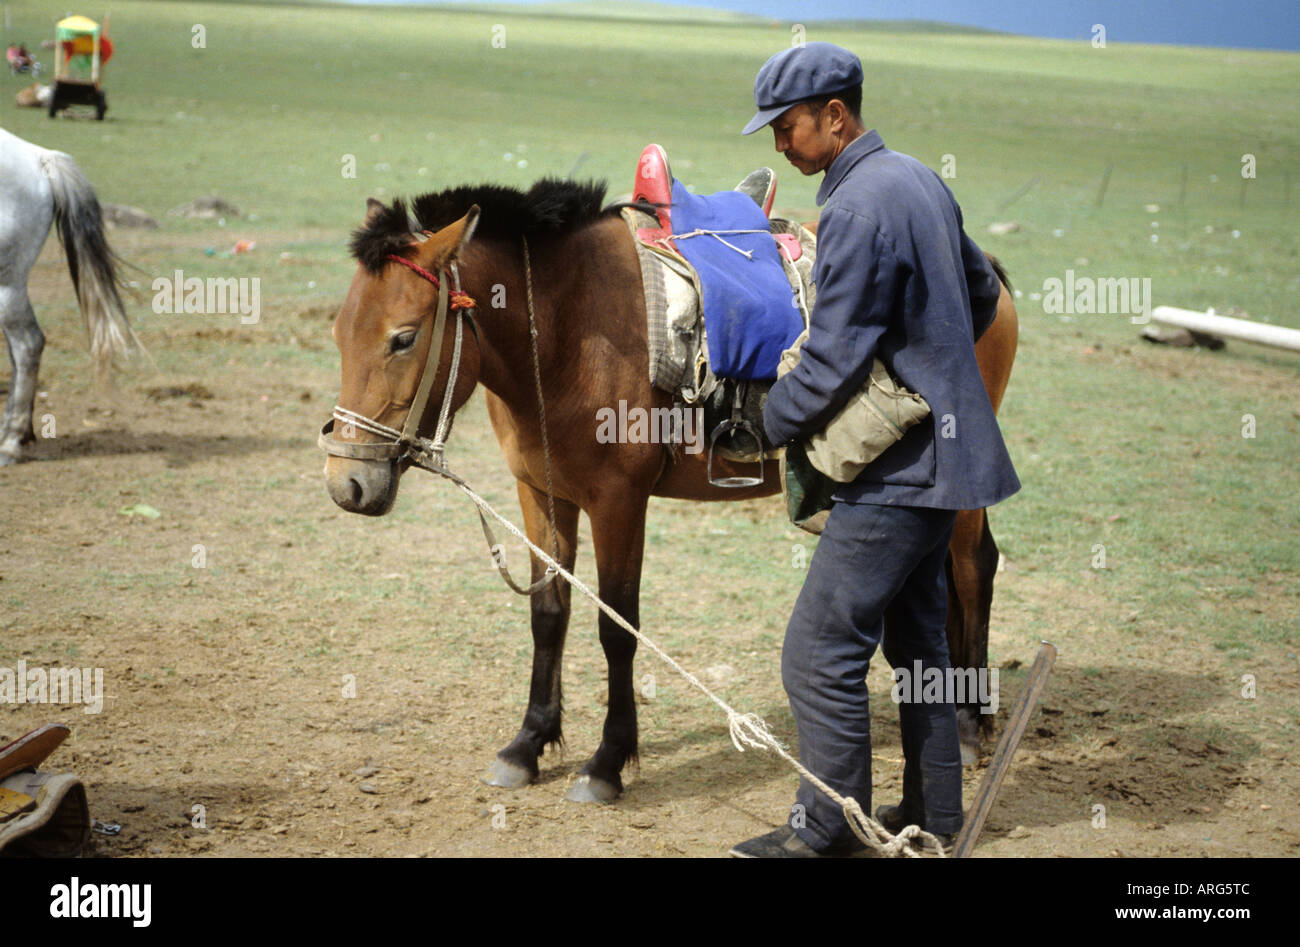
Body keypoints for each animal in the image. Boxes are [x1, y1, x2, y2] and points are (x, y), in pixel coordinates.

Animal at [322, 178, 1017, 802]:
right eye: (338, 332)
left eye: (403, 337)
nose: (346, 482)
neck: (569, 329)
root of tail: (982, 267)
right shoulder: (541, 494)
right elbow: (549, 616)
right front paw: (528, 744)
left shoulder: (618, 502)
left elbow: (616, 626)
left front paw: (606, 762)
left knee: (972, 568)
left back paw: (966, 725)